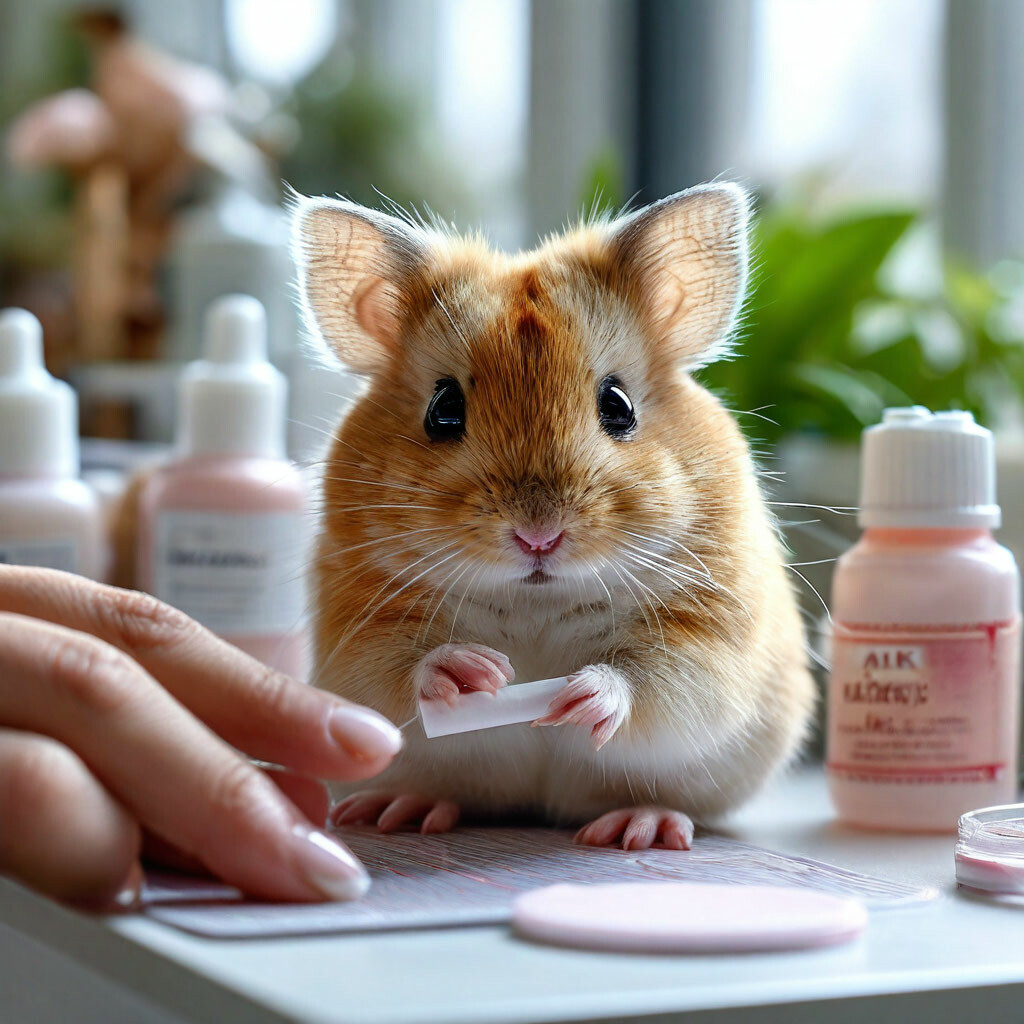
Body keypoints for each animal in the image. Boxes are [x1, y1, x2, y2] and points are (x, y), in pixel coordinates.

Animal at [291, 183, 815, 849]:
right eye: (442, 409)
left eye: (618, 405)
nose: (538, 536)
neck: (535, 599)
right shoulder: (362, 635)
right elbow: (402, 670)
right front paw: (474, 674)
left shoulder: (704, 642)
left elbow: (646, 683)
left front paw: (576, 699)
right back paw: (399, 810)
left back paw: (636, 828)